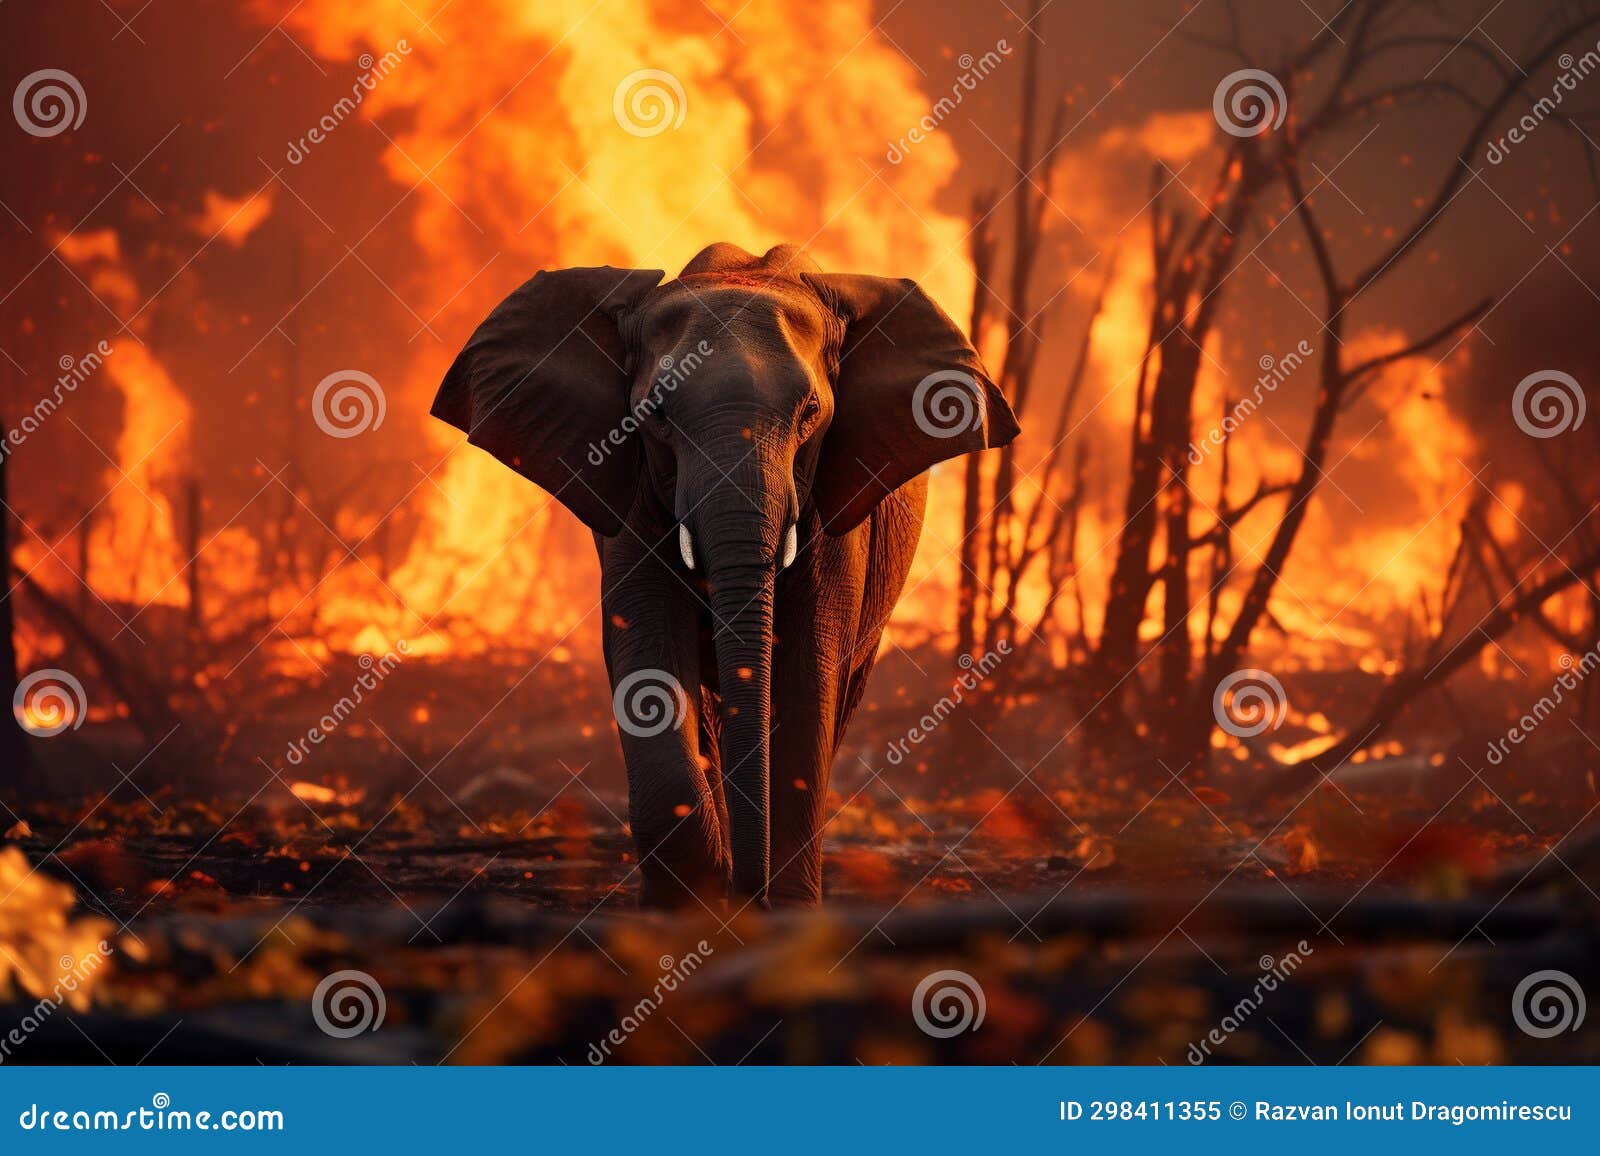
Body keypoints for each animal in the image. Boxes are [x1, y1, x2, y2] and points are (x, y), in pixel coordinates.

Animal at [431, 242, 1018, 907]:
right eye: (656, 415)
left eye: (811, 413)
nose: (750, 894)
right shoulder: (635, 488)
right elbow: (650, 649)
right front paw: (695, 898)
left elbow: (808, 669)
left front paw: (784, 908)